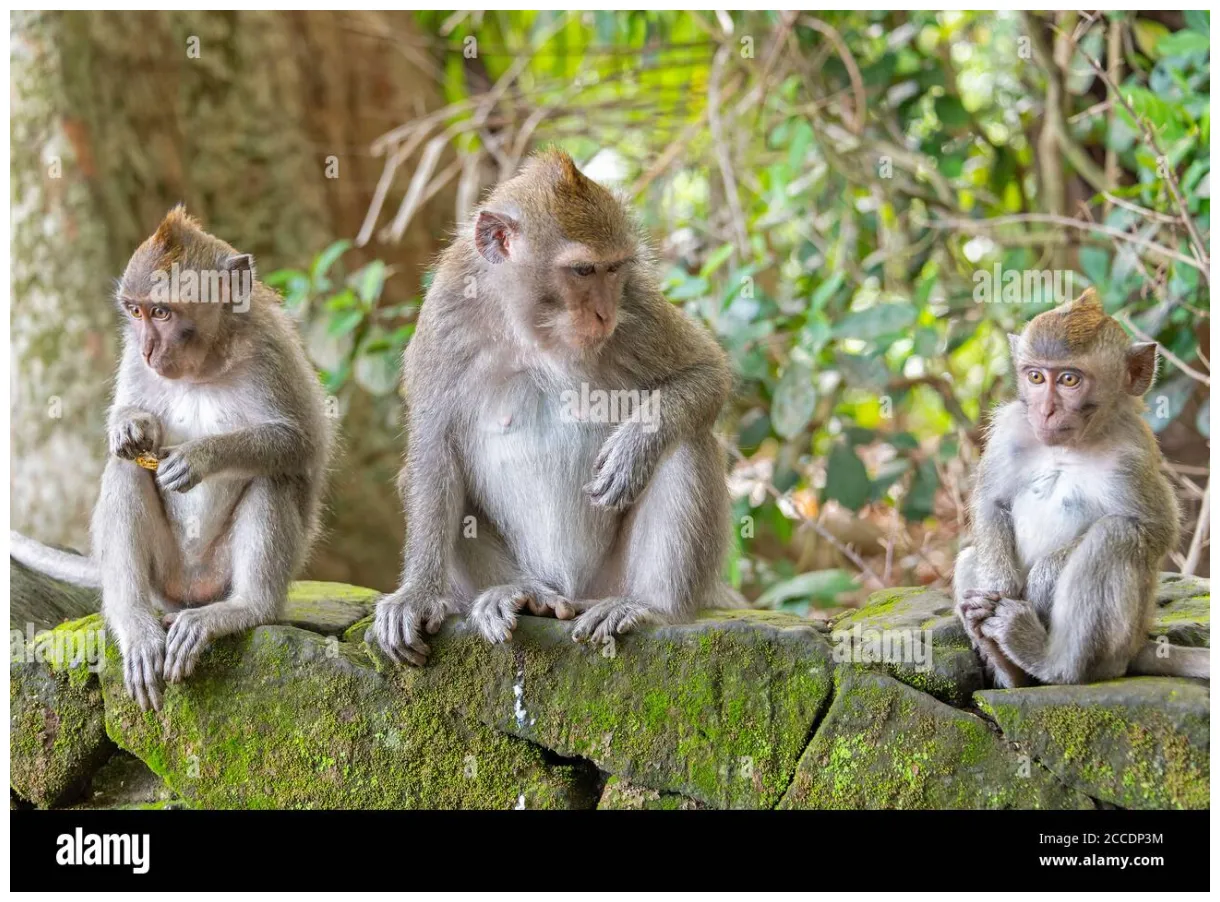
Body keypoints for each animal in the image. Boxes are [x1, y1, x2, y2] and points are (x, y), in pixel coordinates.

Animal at [11, 207, 334, 710]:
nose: (147, 348)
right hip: (165, 577)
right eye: (135, 311)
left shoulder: (272, 349)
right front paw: (130, 427)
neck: (203, 367)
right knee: (125, 472)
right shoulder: (130, 356)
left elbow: (302, 443)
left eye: (162, 312)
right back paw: (134, 624)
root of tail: (192, 593)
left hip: (218, 574)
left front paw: (200, 456)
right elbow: (125, 435)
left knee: (273, 475)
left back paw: (243, 609)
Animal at [371, 149, 734, 666]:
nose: (605, 314)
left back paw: (648, 607)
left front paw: (634, 445)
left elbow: (706, 373)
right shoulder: (445, 315)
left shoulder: (638, 303)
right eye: (583, 271)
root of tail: (573, 592)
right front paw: (417, 594)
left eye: (615, 269)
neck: (530, 329)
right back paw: (522, 594)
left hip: (609, 579)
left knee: (686, 441)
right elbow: (434, 450)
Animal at [953, 288, 1208, 687]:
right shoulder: (1011, 428)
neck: (1069, 446)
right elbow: (992, 502)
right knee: (969, 556)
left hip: (1121, 641)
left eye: (1069, 380)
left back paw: (1050, 661)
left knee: (1116, 536)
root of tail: (1139, 645)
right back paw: (1008, 664)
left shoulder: (1131, 457)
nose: (1045, 411)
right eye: (1036, 377)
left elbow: (1156, 529)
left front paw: (1042, 580)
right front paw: (999, 585)